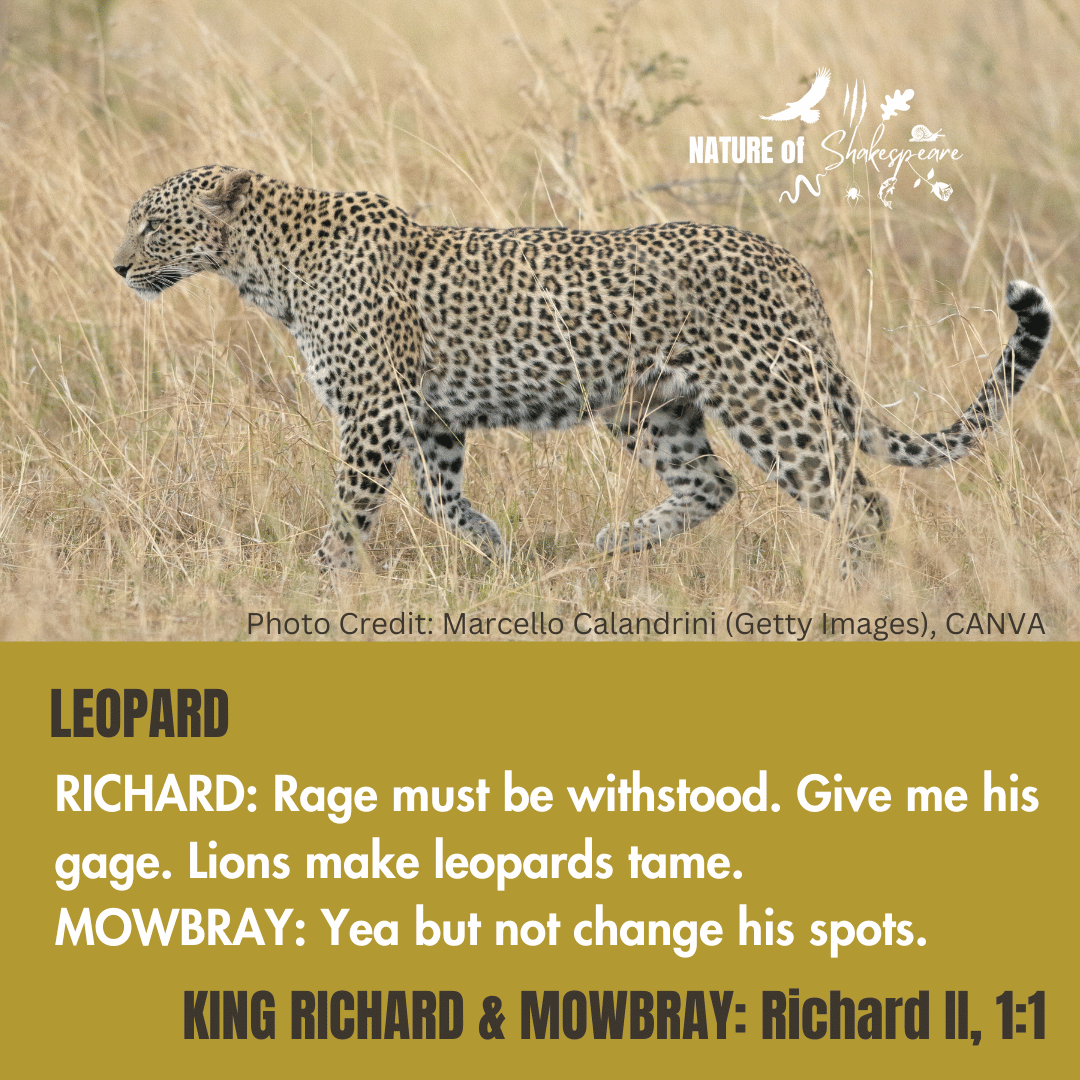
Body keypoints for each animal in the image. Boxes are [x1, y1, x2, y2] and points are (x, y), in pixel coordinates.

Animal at [114, 165, 1052, 570]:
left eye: (151, 224)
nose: (117, 267)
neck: (262, 264)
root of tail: (789, 263)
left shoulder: (376, 411)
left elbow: (352, 507)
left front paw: (322, 581)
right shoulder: (429, 416)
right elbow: (439, 495)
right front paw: (494, 549)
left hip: (770, 403)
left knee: (861, 500)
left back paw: (855, 588)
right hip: (652, 407)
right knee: (712, 483)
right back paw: (615, 544)